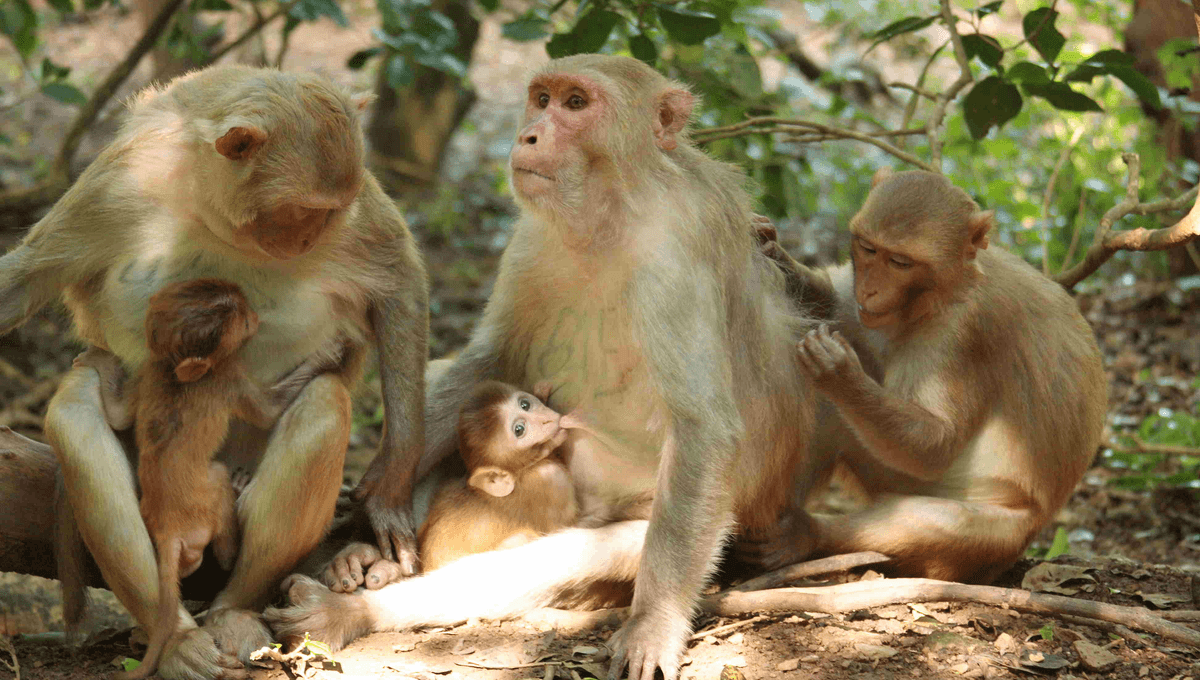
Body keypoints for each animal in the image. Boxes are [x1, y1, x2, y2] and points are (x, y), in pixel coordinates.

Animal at [0, 65, 428, 680]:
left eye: (329, 211)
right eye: (303, 209)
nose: (309, 239)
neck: (210, 211)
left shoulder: (358, 212)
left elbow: (396, 282)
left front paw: (393, 480)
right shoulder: (116, 186)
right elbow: (29, 278)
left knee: (324, 403)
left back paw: (232, 608)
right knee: (76, 409)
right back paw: (174, 636)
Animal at [265, 54, 820, 680]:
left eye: (577, 104)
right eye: (542, 98)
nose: (529, 134)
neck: (614, 209)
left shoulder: (674, 253)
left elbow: (703, 428)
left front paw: (654, 622)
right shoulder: (534, 231)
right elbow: (491, 357)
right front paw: (382, 495)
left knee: (588, 549)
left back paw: (350, 612)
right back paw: (361, 559)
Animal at [742, 169, 1108, 583]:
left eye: (900, 262)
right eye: (868, 249)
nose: (870, 289)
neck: (946, 292)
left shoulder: (962, 333)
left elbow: (935, 444)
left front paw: (840, 375)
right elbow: (837, 309)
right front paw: (772, 248)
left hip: (998, 535)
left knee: (940, 521)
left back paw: (806, 534)